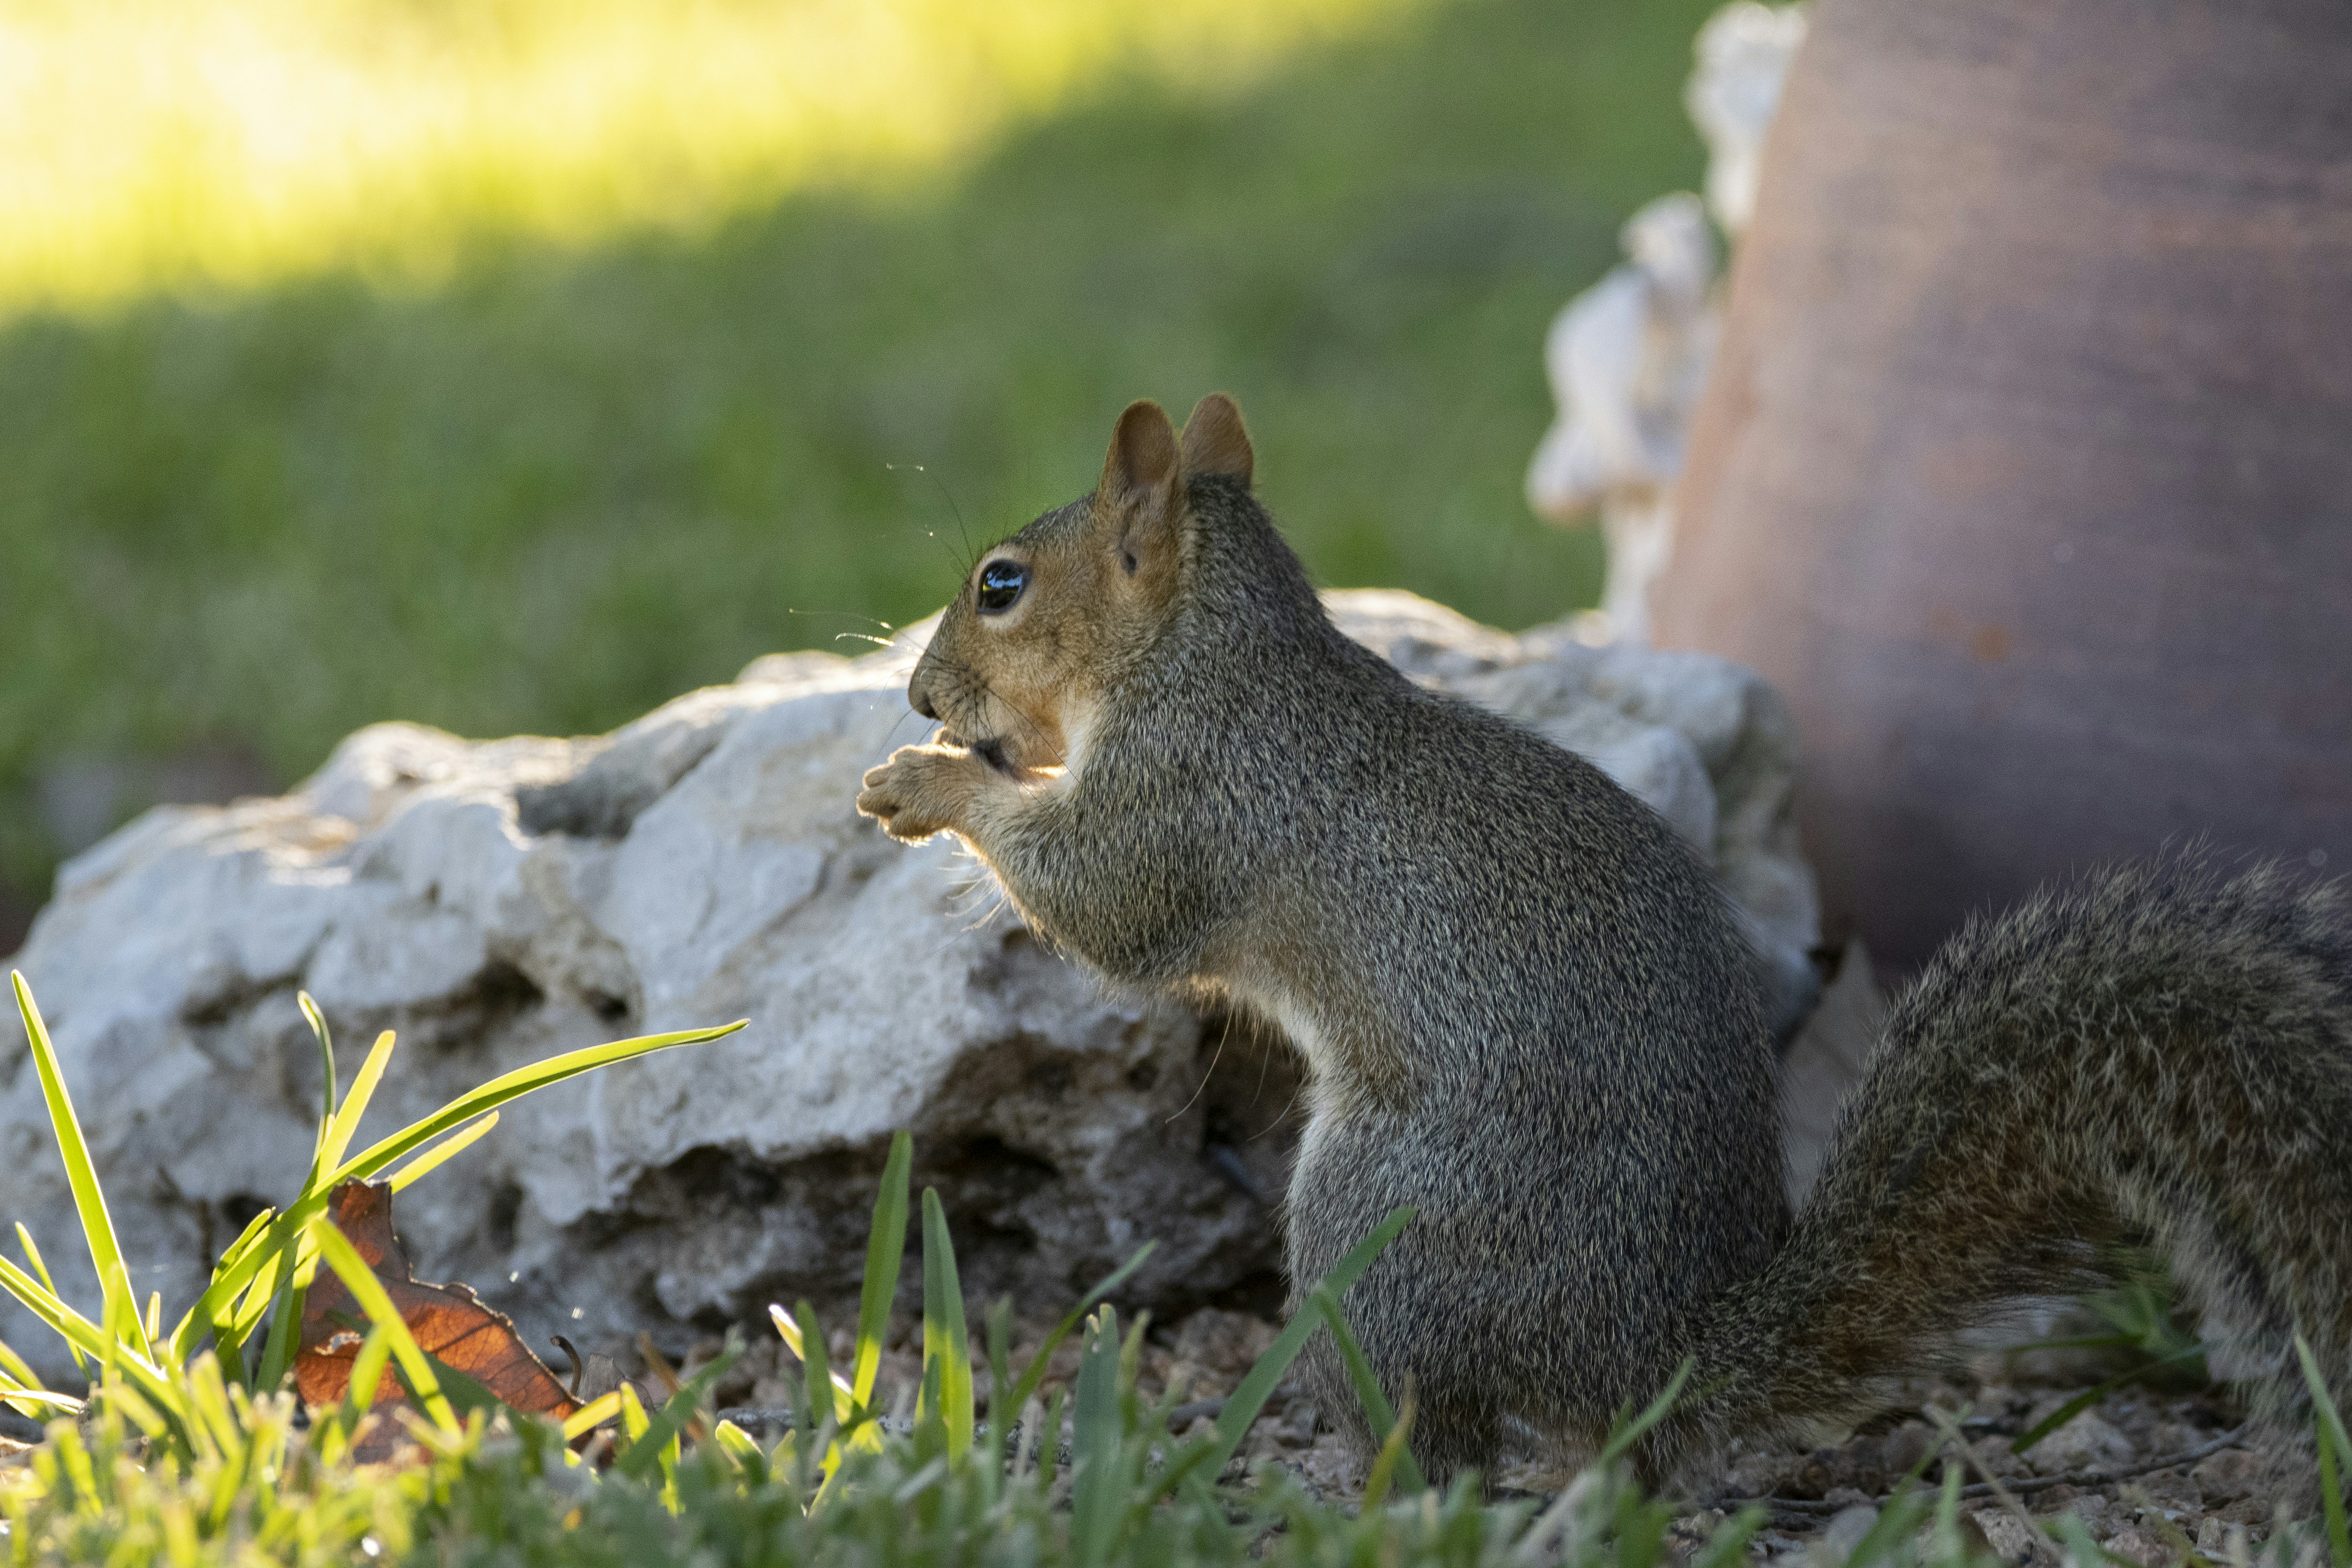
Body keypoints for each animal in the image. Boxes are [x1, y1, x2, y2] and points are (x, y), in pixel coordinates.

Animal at [855, 393, 2352, 1486]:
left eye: (1000, 583)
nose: (922, 691)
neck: (1211, 656)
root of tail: (1657, 1356)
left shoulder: (1195, 798)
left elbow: (1104, 903)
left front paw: (926, 783)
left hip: (1383, 1222)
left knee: (1440, 1443)